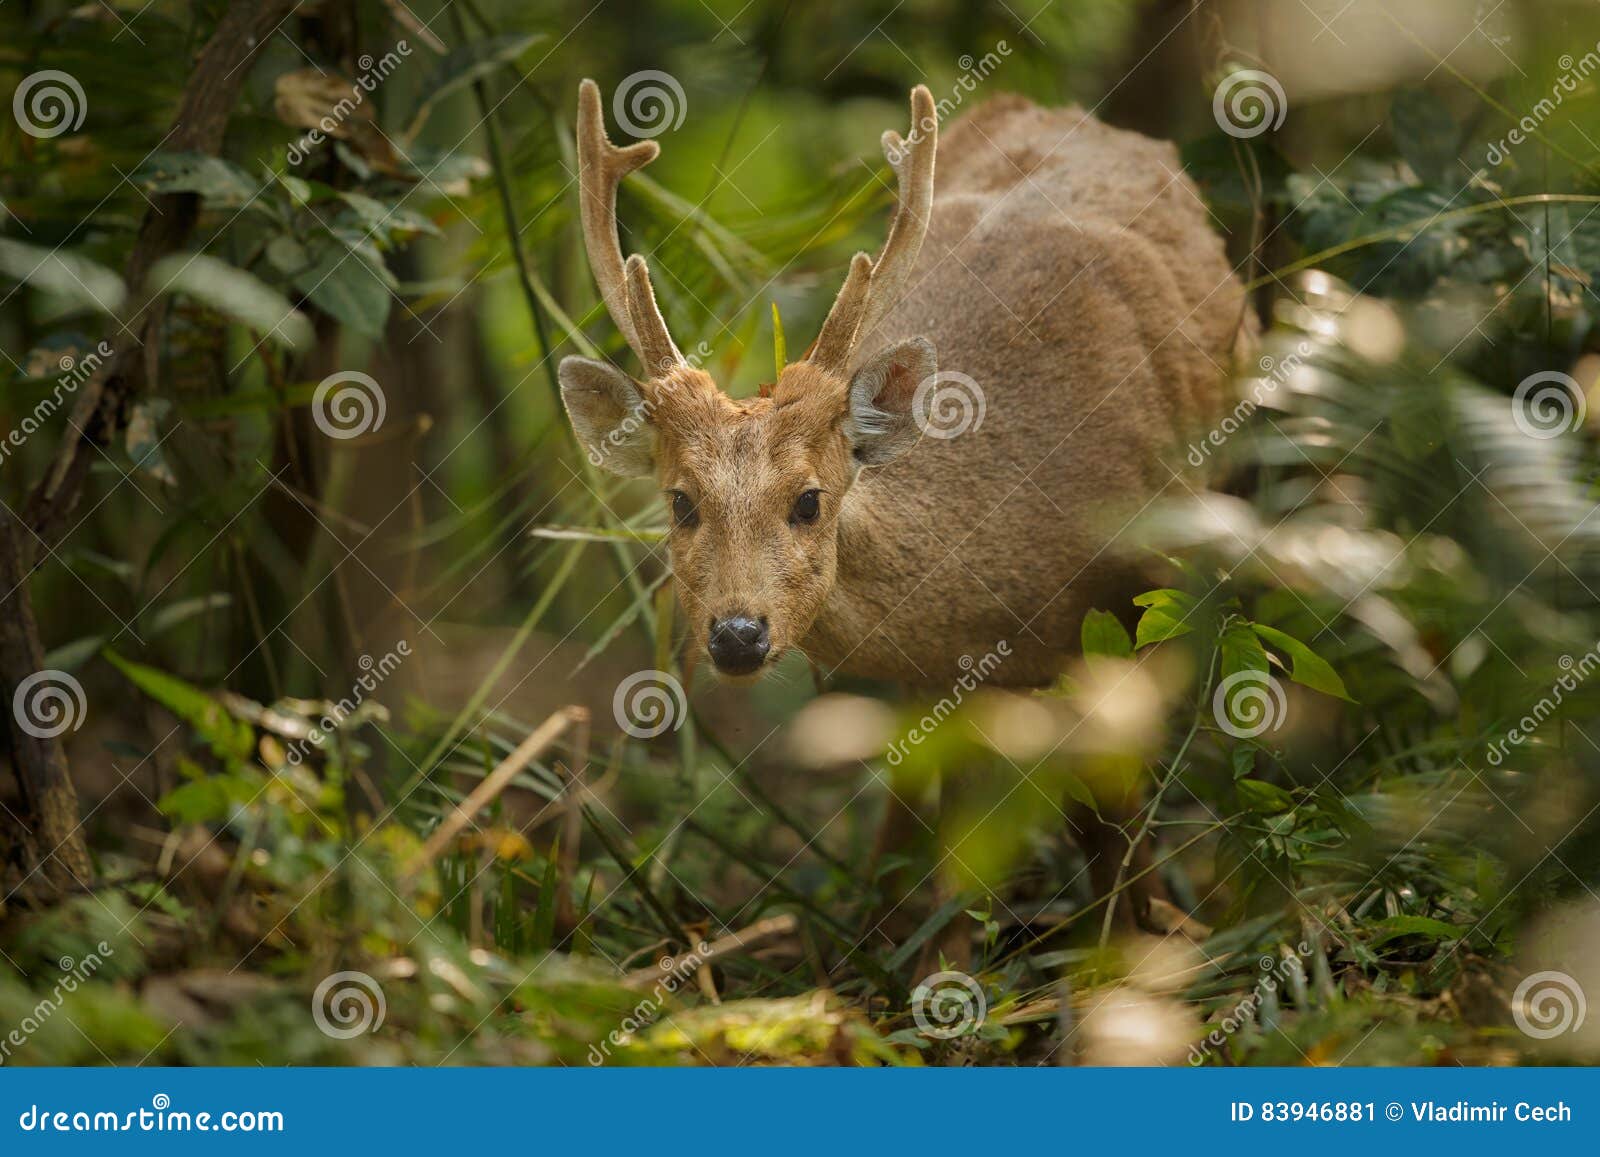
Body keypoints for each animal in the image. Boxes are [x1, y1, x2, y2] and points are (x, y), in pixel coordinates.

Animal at [559, 79, 1250, 963]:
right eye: (680, 500)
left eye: (809, 498)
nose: (738, 634)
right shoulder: (941, 675)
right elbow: (931, 826)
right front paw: (915, 956)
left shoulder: (1134, 598)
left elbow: (1110, 818)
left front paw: (1144, 939)